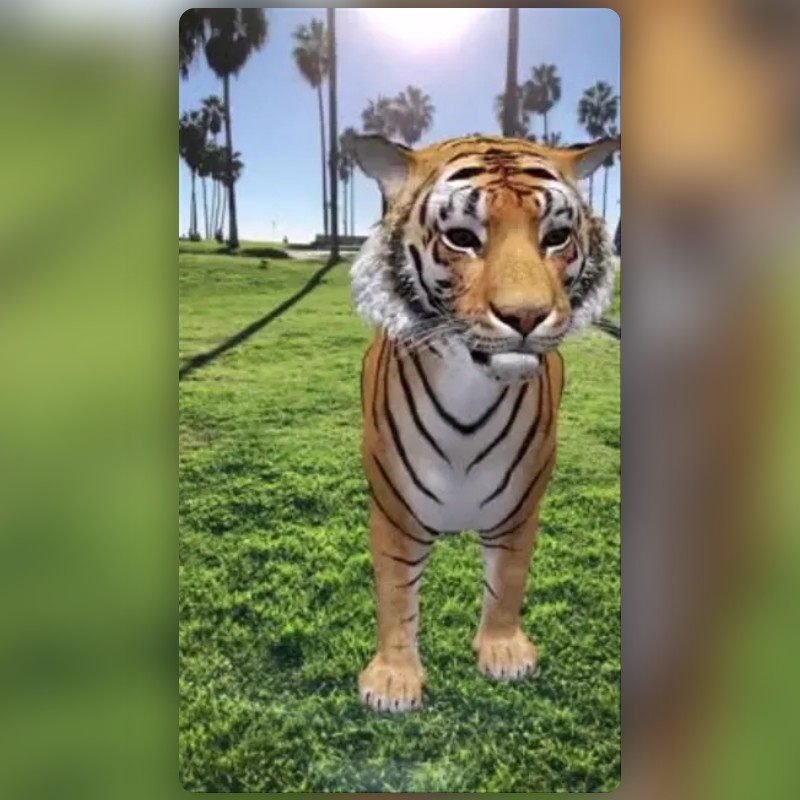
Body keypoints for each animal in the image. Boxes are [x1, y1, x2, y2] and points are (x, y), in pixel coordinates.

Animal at [349, 133, 619, 712]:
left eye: (556, 238)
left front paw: (502, 651)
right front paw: (394, 680)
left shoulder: (518, 511)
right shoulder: (395, 512)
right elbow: (396, 595)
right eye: (461, 239)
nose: (525, 316)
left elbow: (508, 583)